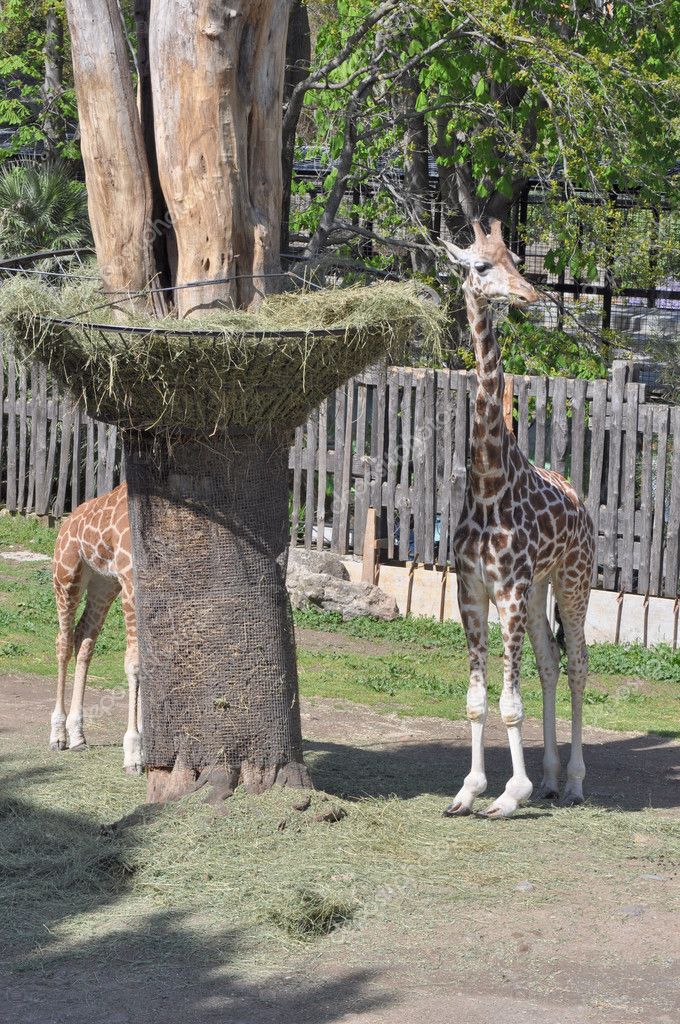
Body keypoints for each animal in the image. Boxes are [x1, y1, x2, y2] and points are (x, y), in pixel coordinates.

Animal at [49, 482, 143, 773]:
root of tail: (68, 520)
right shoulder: (132, 583)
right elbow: (135, 664)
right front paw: (134, 754)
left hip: (104, 583)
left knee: (84, 638)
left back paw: (78, 736)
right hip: (66, 577)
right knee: (64, 642)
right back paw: (58, 735)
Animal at [441, 219, 595, 818]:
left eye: (515, 260)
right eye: (482, 266)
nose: (529, 294)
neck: (488, 484)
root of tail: (582, 503)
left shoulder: (506, 591)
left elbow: (510, 703)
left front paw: (510, 794)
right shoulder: (473, 591)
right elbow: (477, 701)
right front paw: (468, 789)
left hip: (573, 582)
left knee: (577, 664)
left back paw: (572, 782)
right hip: (538, 590)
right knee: (551, 663)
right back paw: (551, 779)